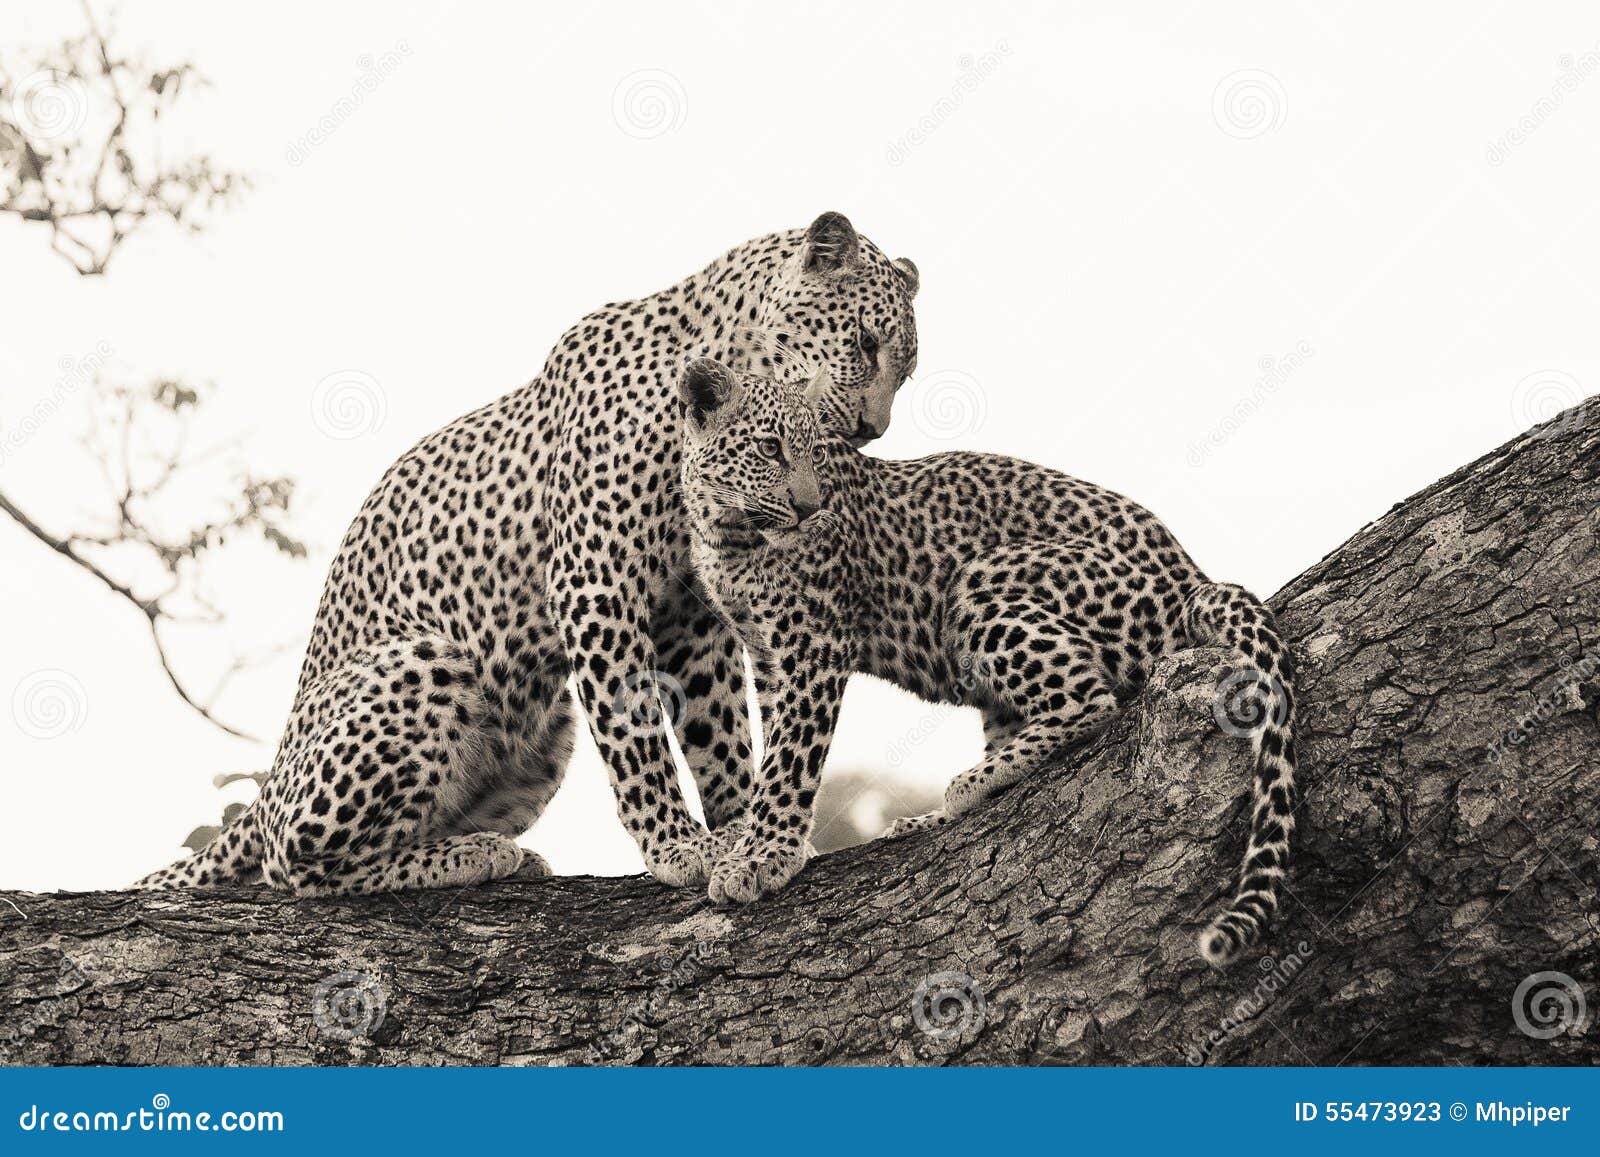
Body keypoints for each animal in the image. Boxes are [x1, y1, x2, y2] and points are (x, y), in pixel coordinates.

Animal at [135, 212, 920, 896]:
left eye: (906, 373)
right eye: (864, 343)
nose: (871, 428)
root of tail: (272, 773)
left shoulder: (690, 615)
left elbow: (717, 728)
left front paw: (741, 834)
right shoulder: (595, 584)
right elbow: (635, 731)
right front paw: (677, 847)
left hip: (545, 733)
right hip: (427, 661)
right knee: (291, 861)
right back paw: (473, 856)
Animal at [677, 358, 1298, 966]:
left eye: (815, 455)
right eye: (770, 449)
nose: (810, 509)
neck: (729, 535)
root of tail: (1194, 582)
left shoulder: (813, 648)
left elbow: (790, 759)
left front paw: (761, 859)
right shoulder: (766, 654)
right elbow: (772, 757)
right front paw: (761, 844)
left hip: (980, 582)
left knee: (1088, 698)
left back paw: (966, 784)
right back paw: (935, 813)